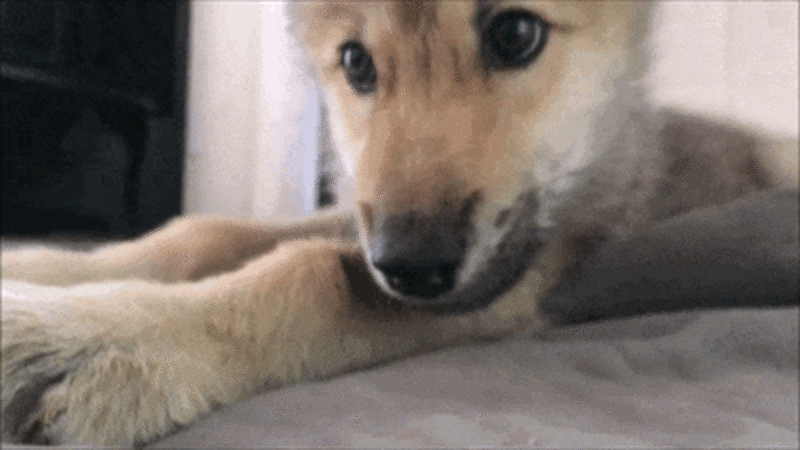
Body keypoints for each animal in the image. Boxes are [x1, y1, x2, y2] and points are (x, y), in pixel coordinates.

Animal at [2, 1, 797, 446]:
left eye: (516, 33)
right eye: (355, 62)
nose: (410, 267)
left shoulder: (526, 267)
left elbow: (314, 273)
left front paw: (109, 335)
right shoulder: (364, 216)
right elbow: (213, 232)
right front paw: (43, 267)